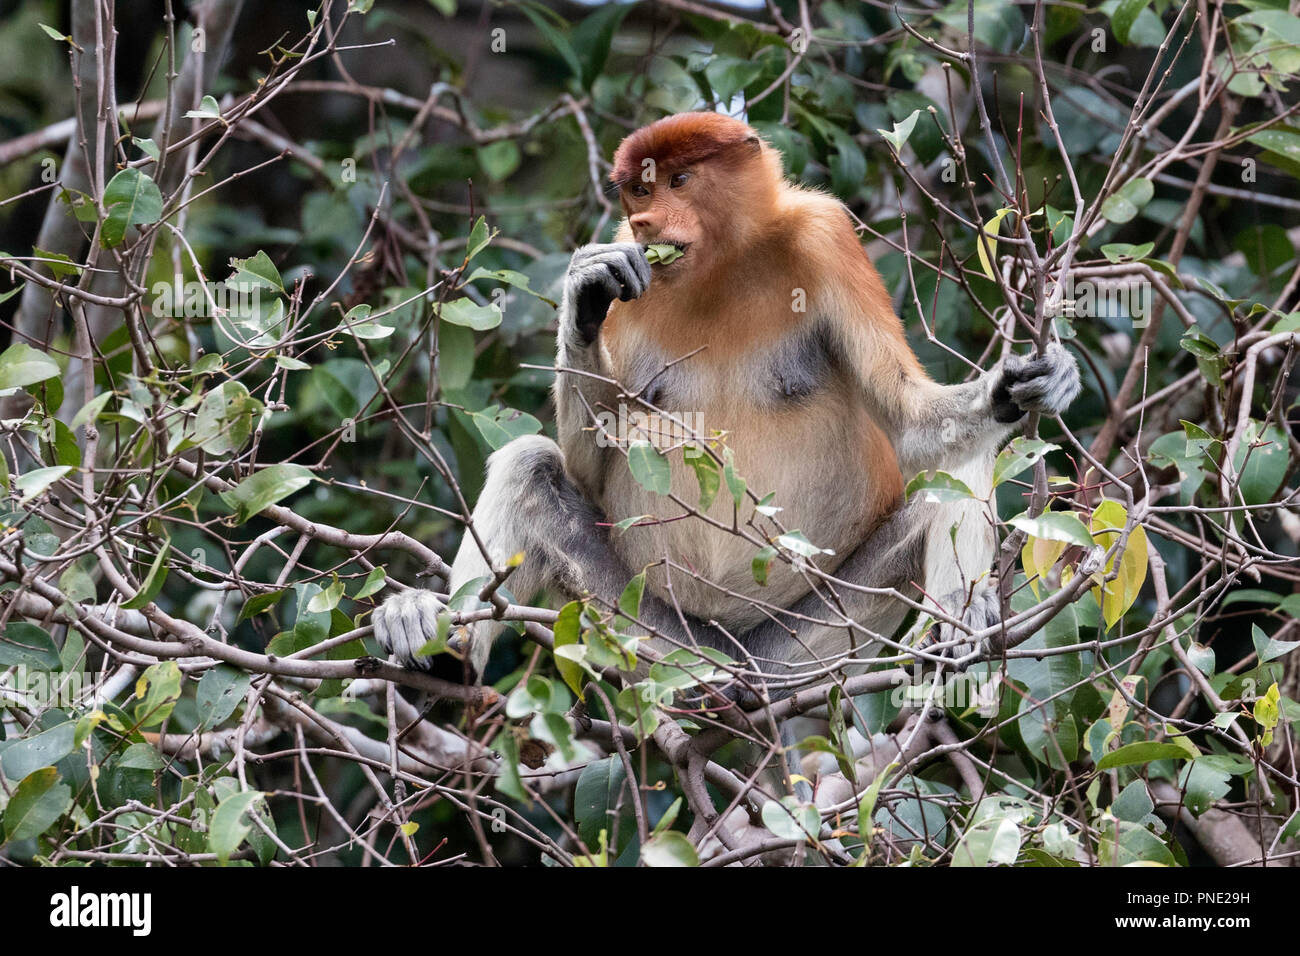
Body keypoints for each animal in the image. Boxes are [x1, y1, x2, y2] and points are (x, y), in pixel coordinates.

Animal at [373, 111, 1080, 698]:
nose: (646, 226)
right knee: (529, 465)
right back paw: (445, 651)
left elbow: (911, 427)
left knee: (953, 472)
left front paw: (1028, 382)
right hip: (646, 633)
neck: (724, 262)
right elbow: (588, 463)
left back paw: (959, 632)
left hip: (817, 638)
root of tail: (736, 658)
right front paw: (586, 292)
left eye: (679, 180)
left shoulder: (825, 238)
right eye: (638, 193)